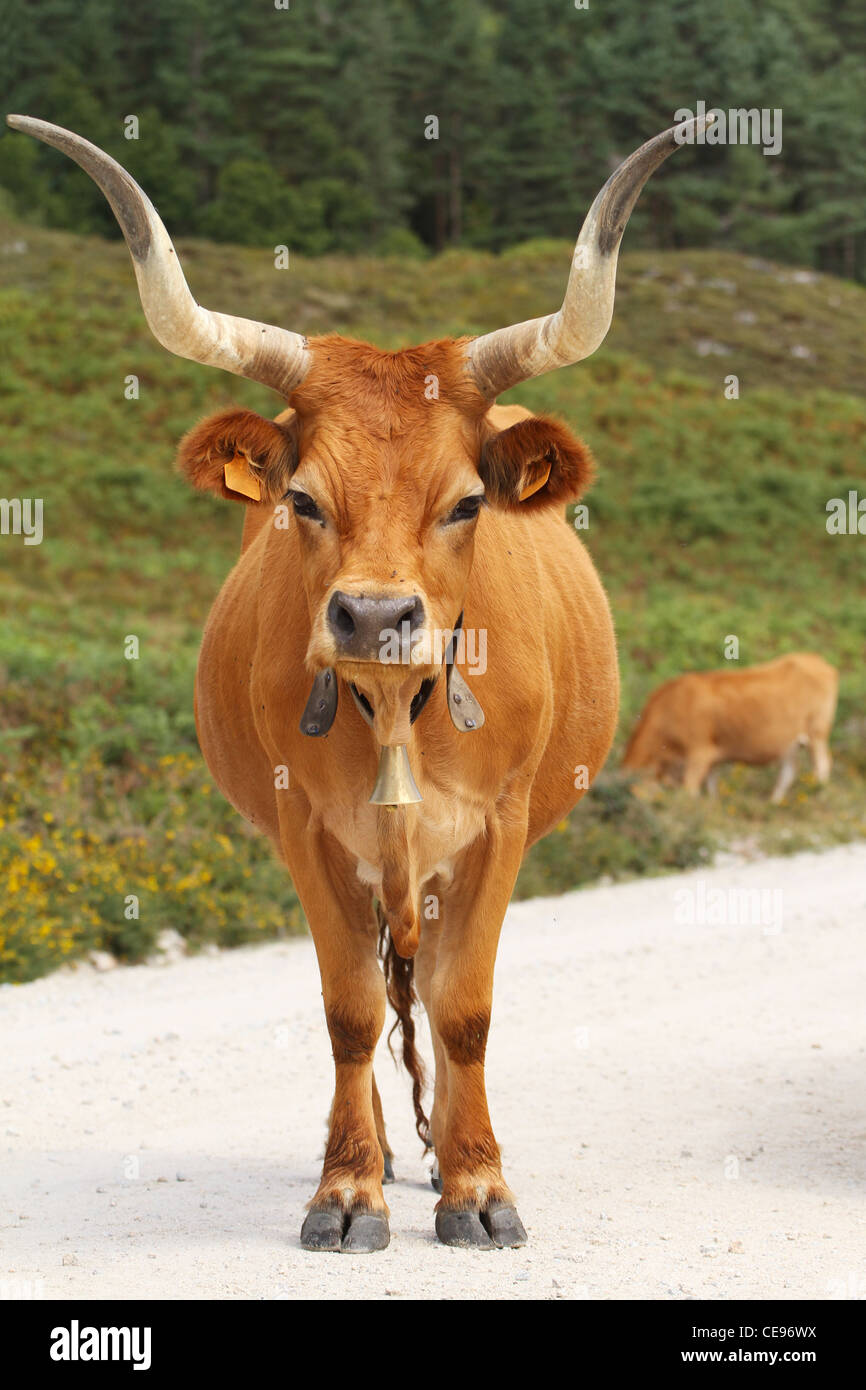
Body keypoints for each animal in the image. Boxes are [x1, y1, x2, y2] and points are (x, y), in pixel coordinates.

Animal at [8, 111, 713, 1253]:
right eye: (302, 497)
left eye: (466, 502)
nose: (375, 618)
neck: (394, 715)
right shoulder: (306, 829)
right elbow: (348, 1009)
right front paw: (347, 1191)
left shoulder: (500, 825)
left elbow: (462, 1009)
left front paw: (476, 1186)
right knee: (382, 994)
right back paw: (381, 1151)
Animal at [622, 653, 838, 803]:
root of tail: (817, 660)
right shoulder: (712, 759)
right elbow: (712, 788)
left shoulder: (699, 753)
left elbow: (690, 791)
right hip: (790, 743)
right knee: (788, 772)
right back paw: (774, 802)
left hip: (817, 733)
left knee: (822, 766)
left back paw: (819, 797)